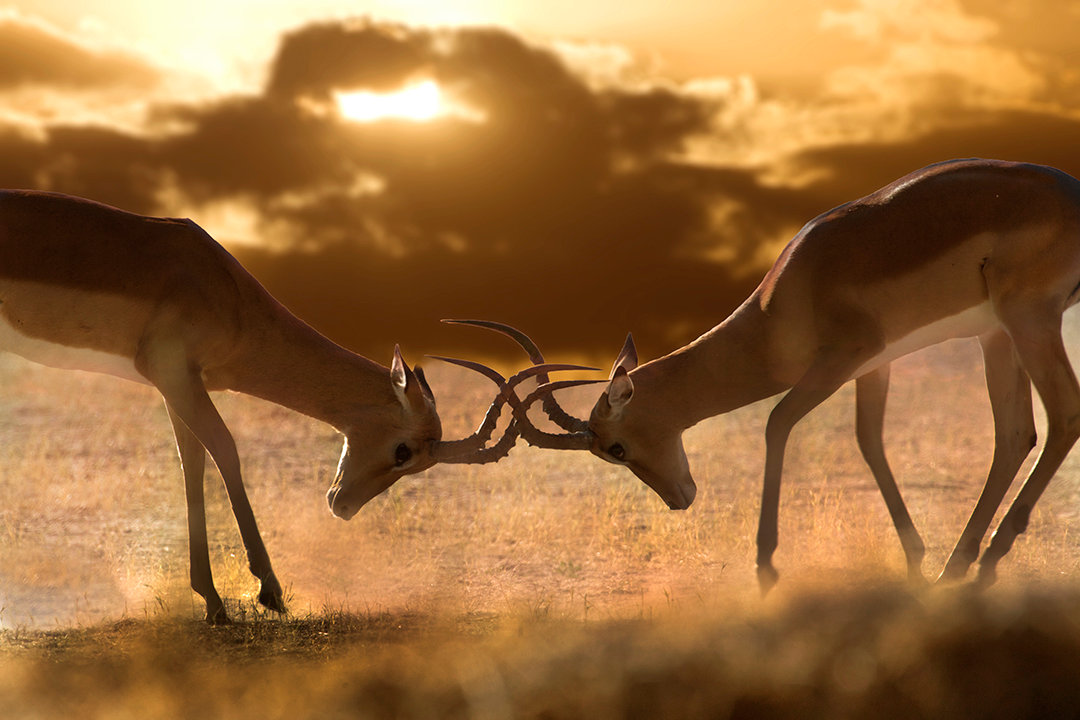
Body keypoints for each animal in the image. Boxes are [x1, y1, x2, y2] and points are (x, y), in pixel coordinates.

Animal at [0, 190, 565, 623]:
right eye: (403, 450)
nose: (342, 506)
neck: (225, 292)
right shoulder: (173, 373)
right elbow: (225, 450)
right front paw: (268, 592)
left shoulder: (176, 384)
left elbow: (192, 463)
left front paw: (213, 601)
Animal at [504, 158, 1080, 593]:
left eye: (615, 447)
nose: (678, 498)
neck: (785, 298)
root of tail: (1070, 191)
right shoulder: (875, 364)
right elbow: (869, 441)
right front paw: (915, 560)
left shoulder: (844, 357)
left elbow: (776, 423)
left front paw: (766, 568)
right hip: (996, 335)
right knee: (1015, 434)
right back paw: (957, 569)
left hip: (1027, 318)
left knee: (1064, 414)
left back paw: (985, 565)